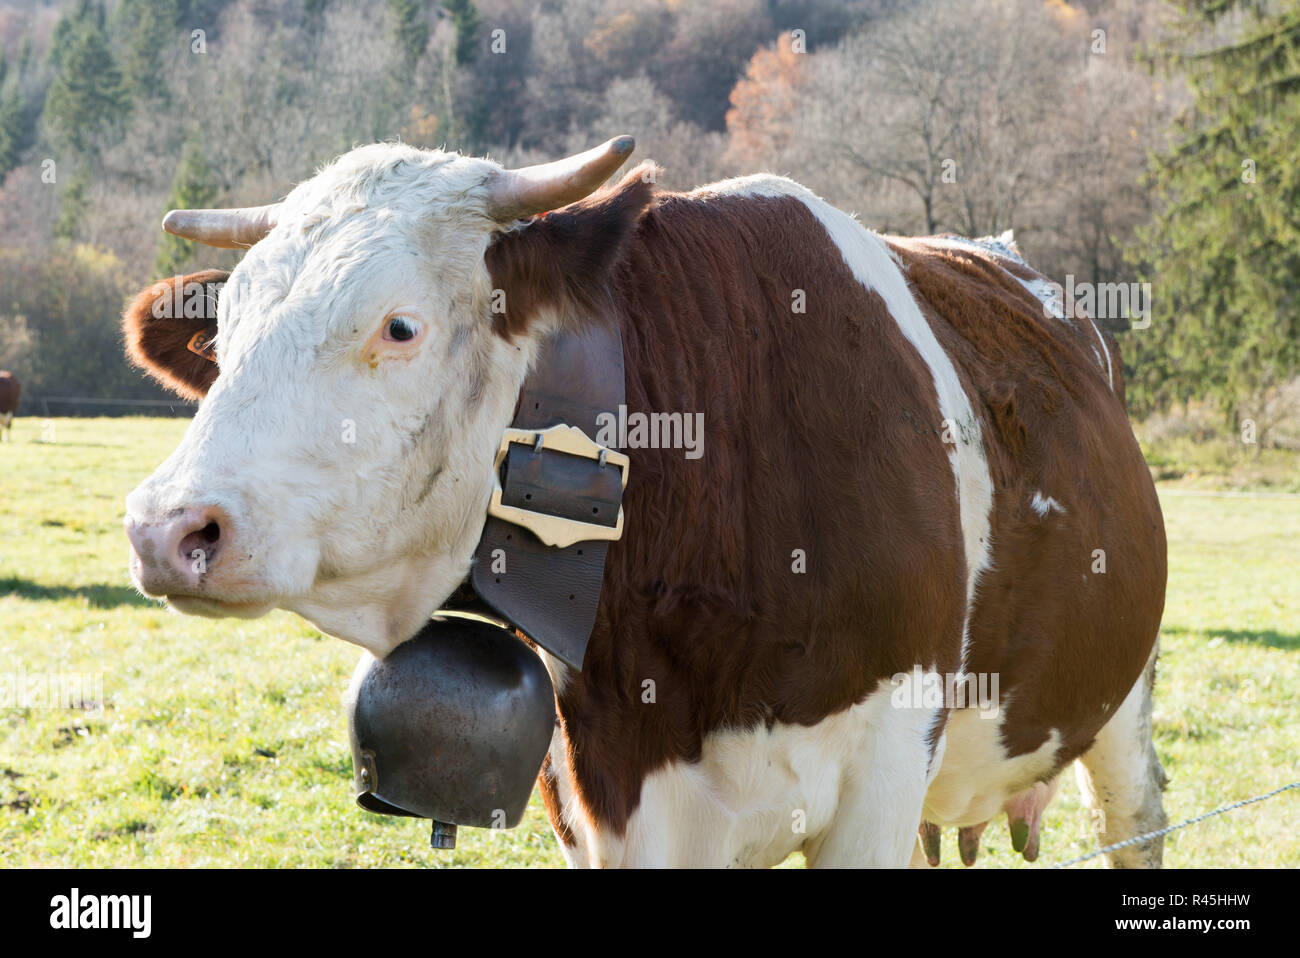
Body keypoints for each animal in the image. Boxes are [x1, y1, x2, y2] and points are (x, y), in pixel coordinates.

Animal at [121, 136, 1168, 868]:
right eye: (223, 335)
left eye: (400, 326)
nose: (167, 528)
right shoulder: (600, 795)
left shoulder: (881, 774)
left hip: (1121, 702)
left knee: (1137, 820)